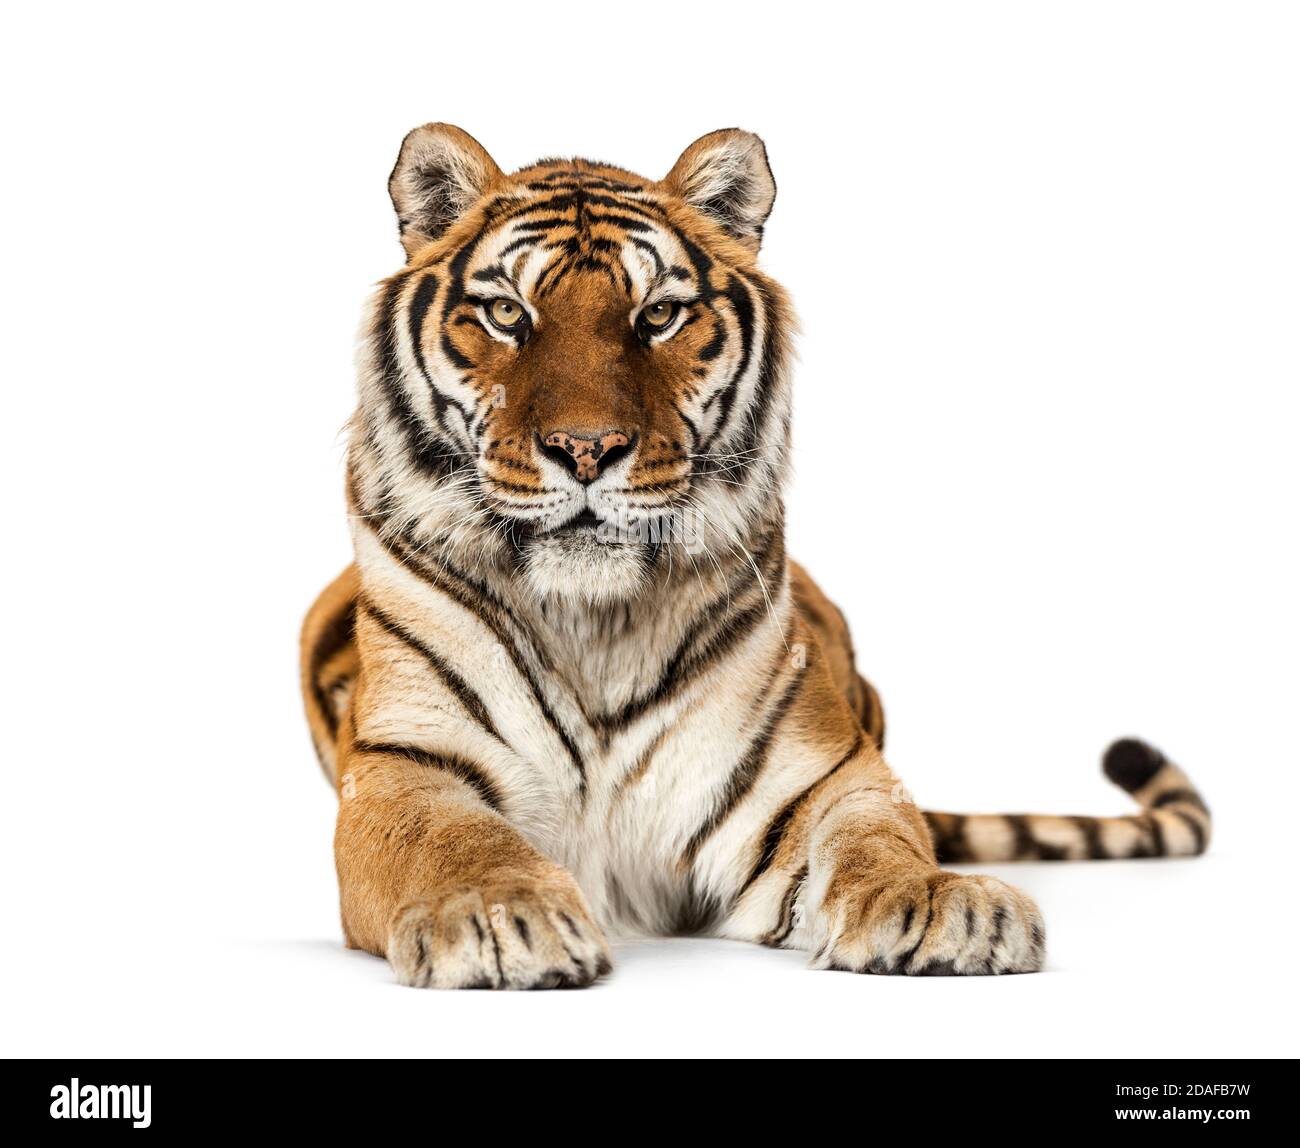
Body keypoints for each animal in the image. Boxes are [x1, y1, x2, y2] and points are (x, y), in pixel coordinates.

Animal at [300, 124, 1211, 988]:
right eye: (507, 315)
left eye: (657, 316)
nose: (587, 448)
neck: (594, 625)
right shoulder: (405, 766)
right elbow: (449, 840)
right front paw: (496, 916)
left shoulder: (822, 775)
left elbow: (879, 838)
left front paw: (940, 905)